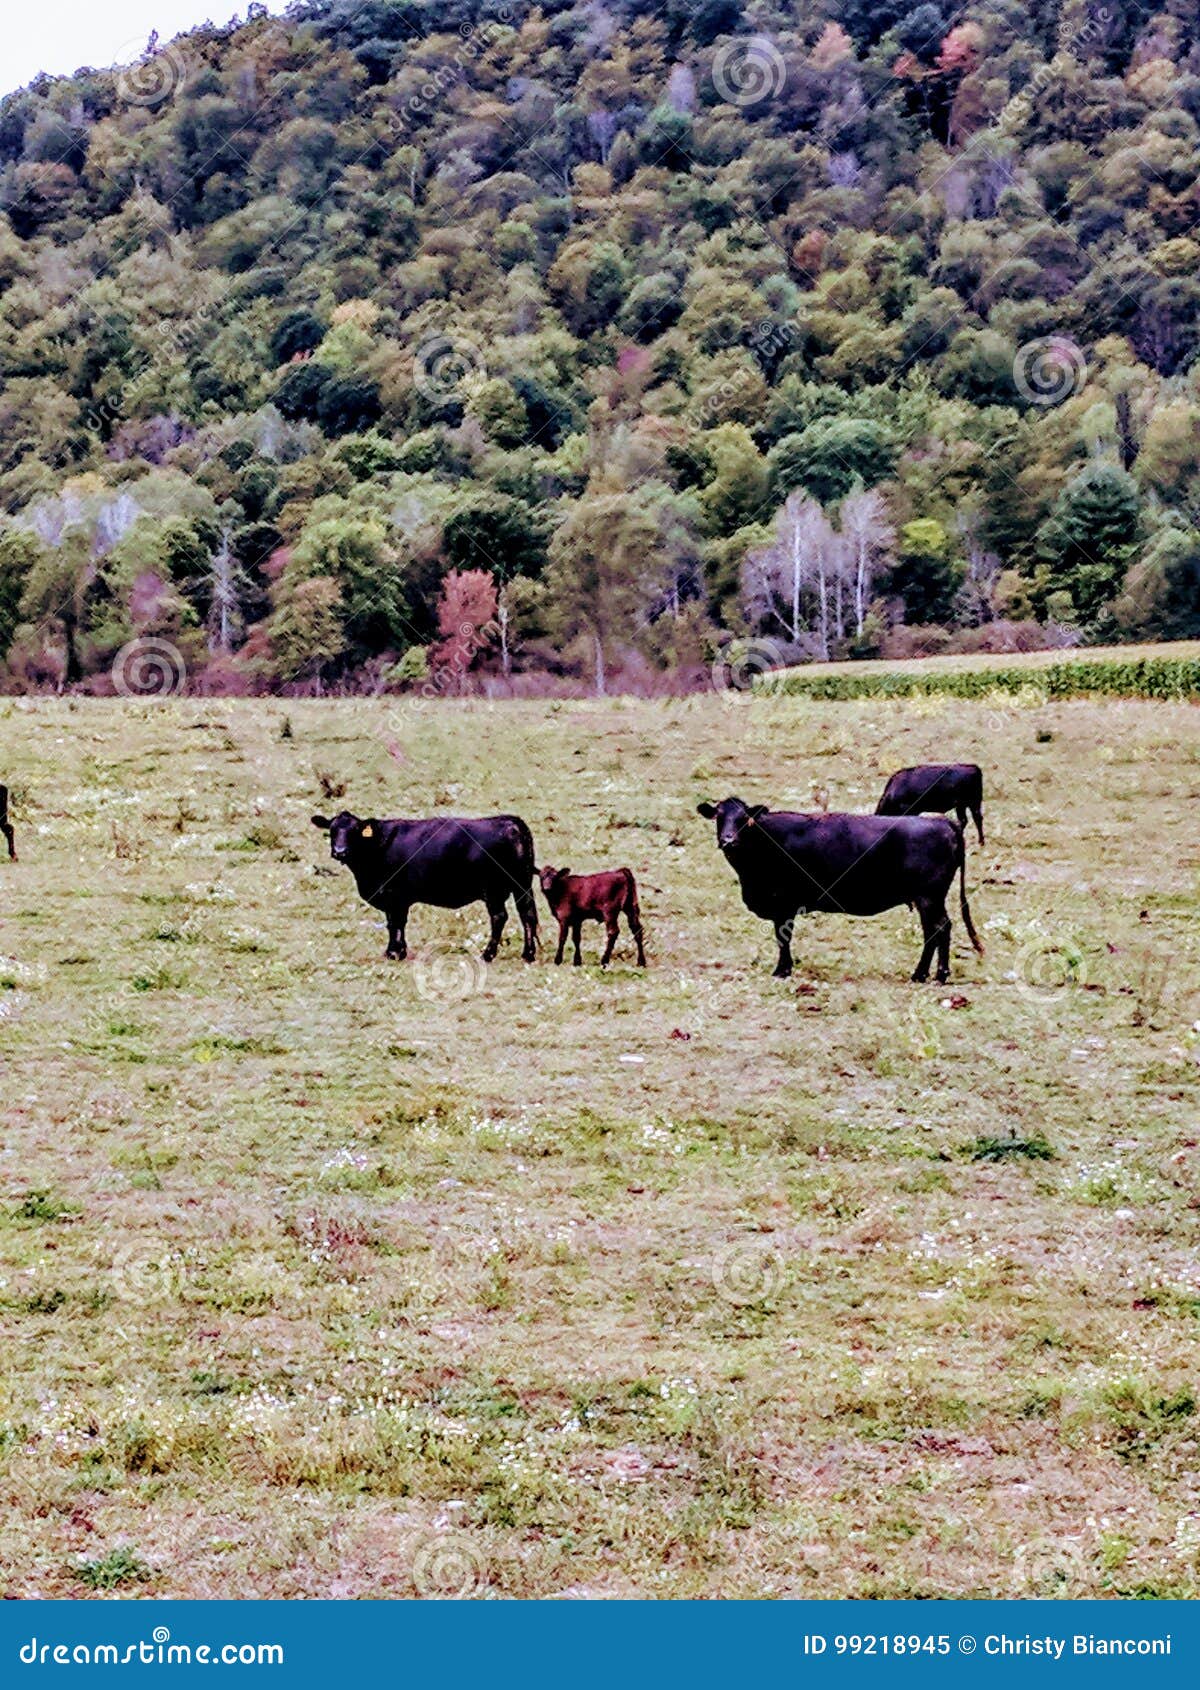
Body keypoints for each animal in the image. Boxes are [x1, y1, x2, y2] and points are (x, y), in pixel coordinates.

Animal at [311, 809, 538, 963]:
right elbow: (396, 924)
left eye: (354, 831)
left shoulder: (394, 896)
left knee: (499, 917)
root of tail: (510, 821)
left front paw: (394, 953)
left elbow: (395, 923)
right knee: (527, 914)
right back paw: (528, 954)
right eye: (332, 830)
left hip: (493, 889)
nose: (339, 851)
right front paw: (398, 951)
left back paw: (487, 954)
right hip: (521, 885)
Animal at [697, 795, 984, 983]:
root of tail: (944, 823)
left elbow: (782, 938)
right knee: (938, 930)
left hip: (929, 897)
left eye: (745, 819)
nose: (728, 840)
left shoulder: (783, 904)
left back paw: (929, 975)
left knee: (938, 929)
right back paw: (931, 974)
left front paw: (782, 970)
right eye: (719, 817)